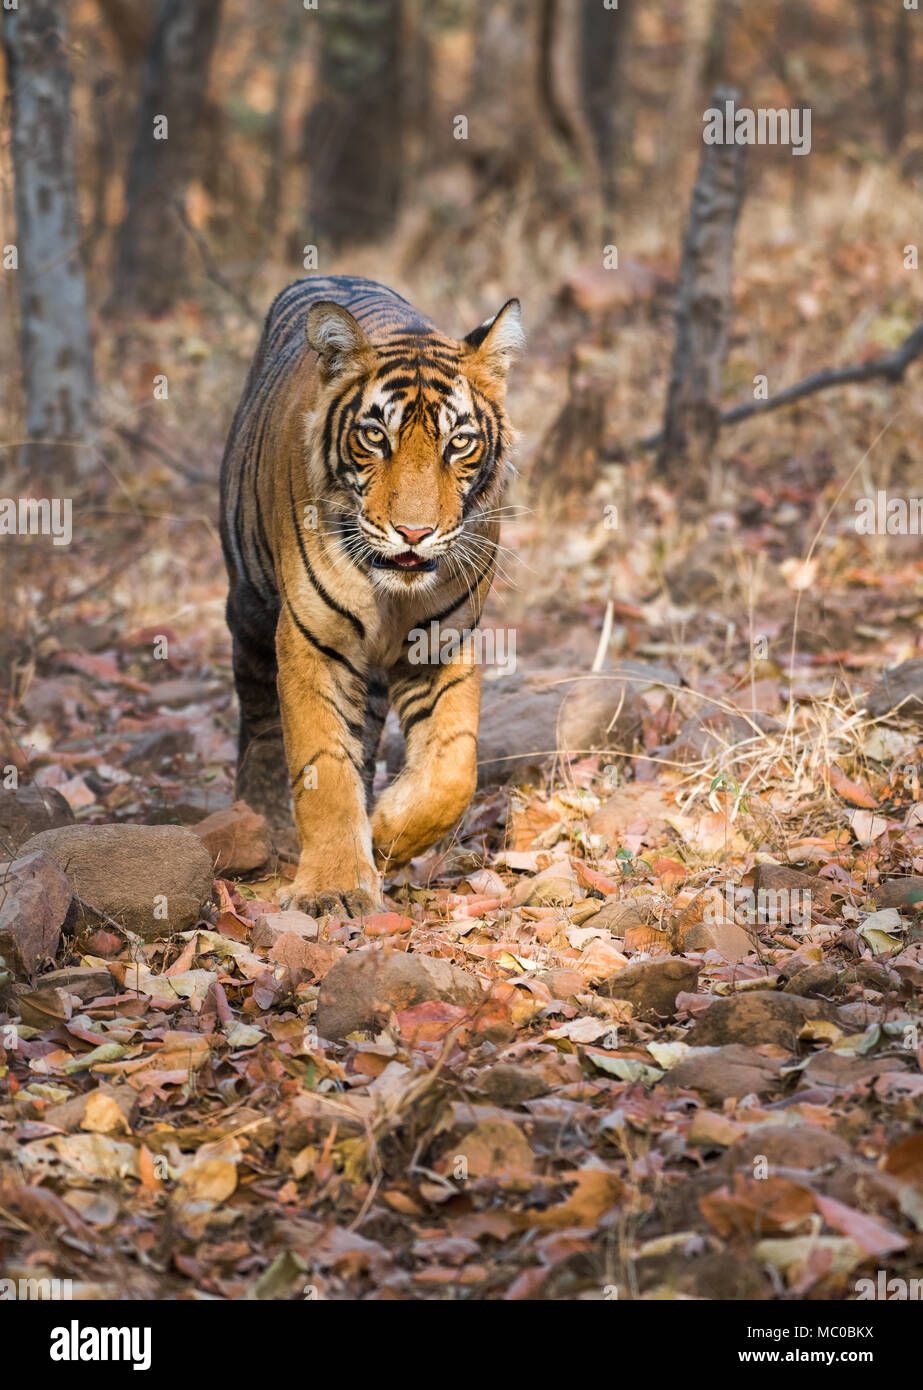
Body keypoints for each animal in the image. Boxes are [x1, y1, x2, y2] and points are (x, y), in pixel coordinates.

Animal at [219, 276, 523, 916]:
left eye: (459, 443)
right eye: (375, 437)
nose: (413, 532)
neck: (394, 597)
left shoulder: (441, 646)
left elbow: (453, 769)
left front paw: (384, 831)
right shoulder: (313, 646)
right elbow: (323, 769)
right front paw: (333, 887)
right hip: (248, 605)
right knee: (257, 714)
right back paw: (261, 811)